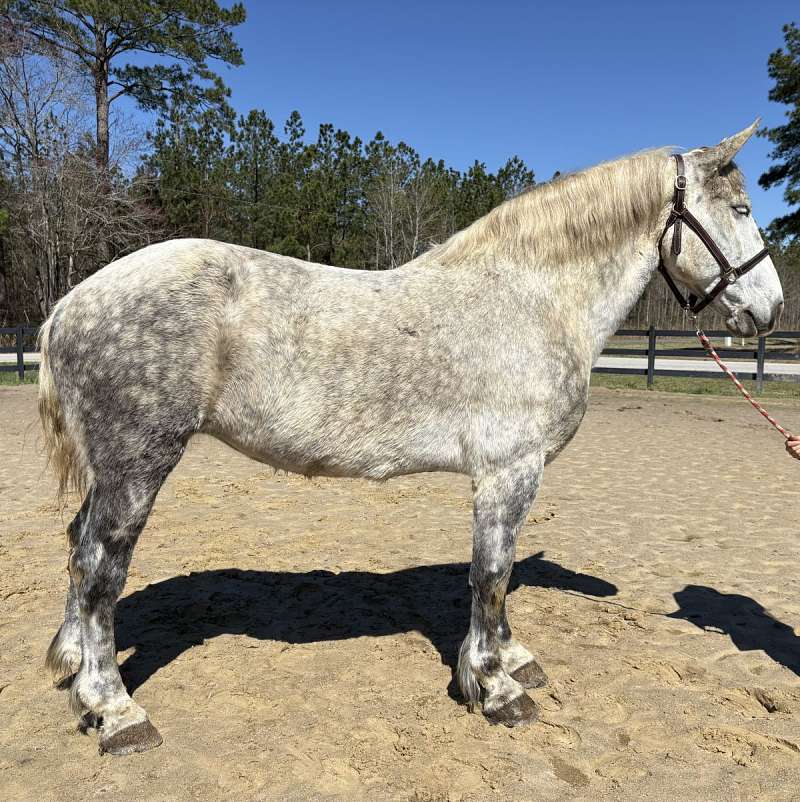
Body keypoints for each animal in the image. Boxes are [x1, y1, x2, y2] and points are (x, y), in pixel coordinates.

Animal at [38, 121, 783, 755]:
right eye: (743, 209)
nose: (771, 309)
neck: (533, 300)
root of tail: (68, 307)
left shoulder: (509, 475)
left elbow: (501, 575)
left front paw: (513, 659)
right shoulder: (511, 469)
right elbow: (492, 574)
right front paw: (494, 687)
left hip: (113, 467)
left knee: (77, 547)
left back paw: (71, 665)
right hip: (140, 460)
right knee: (100, 569)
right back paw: (115, 710)